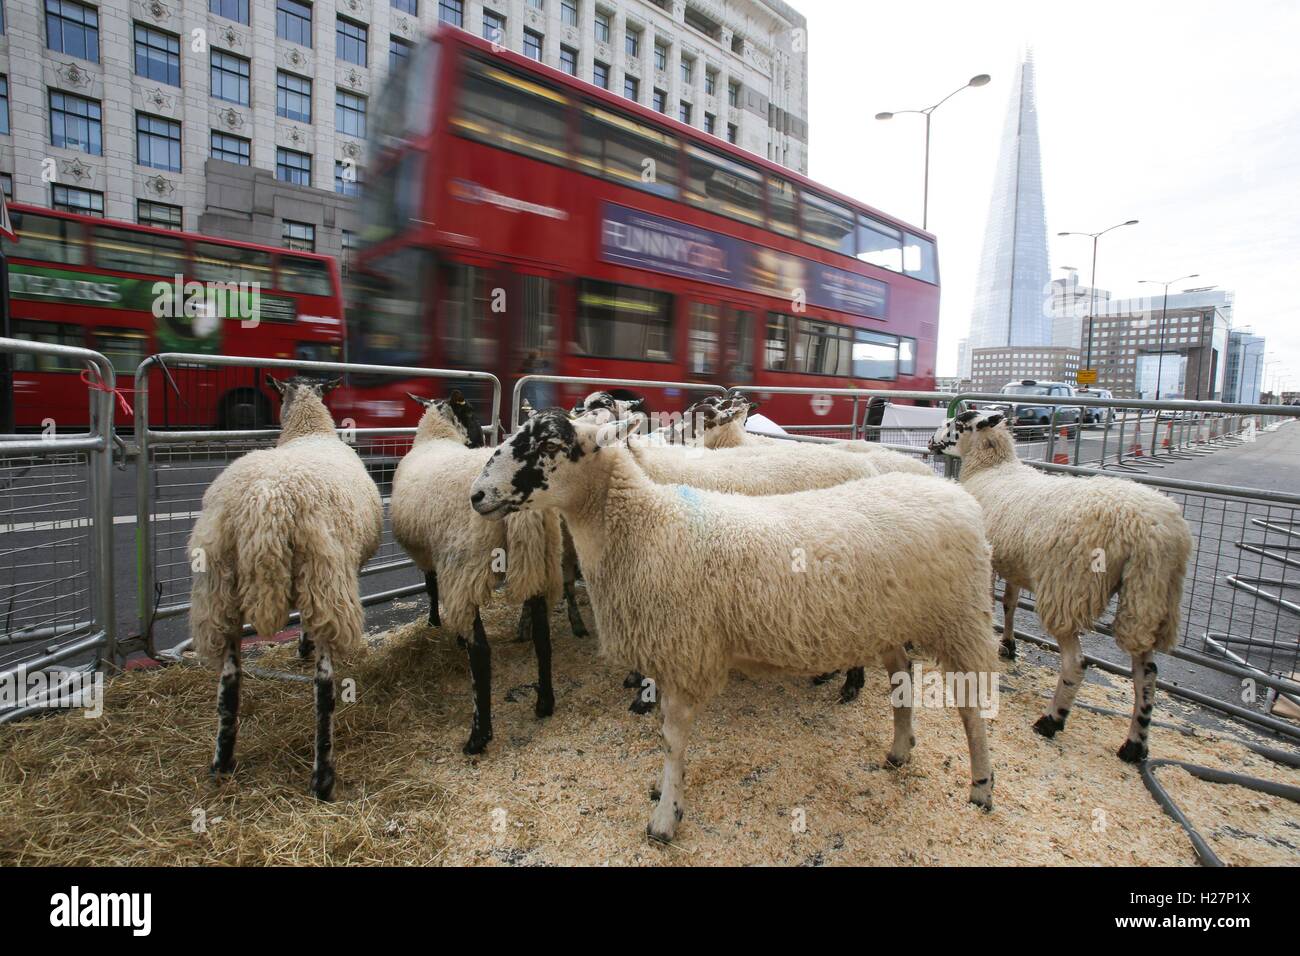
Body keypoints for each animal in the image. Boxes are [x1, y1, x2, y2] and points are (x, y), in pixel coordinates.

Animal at [188, 376, 383, 800]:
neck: (310, 431)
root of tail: (266, 503)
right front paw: (303, 646)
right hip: (323, 577)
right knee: (323, 688)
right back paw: (322, 778)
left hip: (220, 592)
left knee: (229, 682)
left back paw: (222, 763)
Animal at [390, 391, 564, 754]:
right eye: (472, 415)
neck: (436, 437)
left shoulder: (433, 555)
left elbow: (431, 588)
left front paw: (436, 623)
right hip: (540, 560)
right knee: (543, 637)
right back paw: (544, 703)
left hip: (466, 562)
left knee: (481, 654)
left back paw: (478, 736)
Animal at [470, 410, 999, 843]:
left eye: (549, 446)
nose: (476, 495)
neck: (644, 525)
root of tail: (955, 493)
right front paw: (663, 793)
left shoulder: (685, 653)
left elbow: (672, 740)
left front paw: (665, 818)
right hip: (887, 621)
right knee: (901, 675)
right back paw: (899, 749)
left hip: (959, 617)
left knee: (971, 707)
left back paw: (981, 787)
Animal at [929, 409, 1194, 763]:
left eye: (956, 423)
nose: (931, 441)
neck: (992, 468)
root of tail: (1150, 531)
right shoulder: (1013, 563)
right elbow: (1010, 604)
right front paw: (1008, 645)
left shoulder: (991, 559)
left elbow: (994, 604)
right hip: (1149, 593)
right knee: (1147, 670)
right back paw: (1135, 744)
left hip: (1068, 588)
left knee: (1076, 662)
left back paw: (1051, 719)